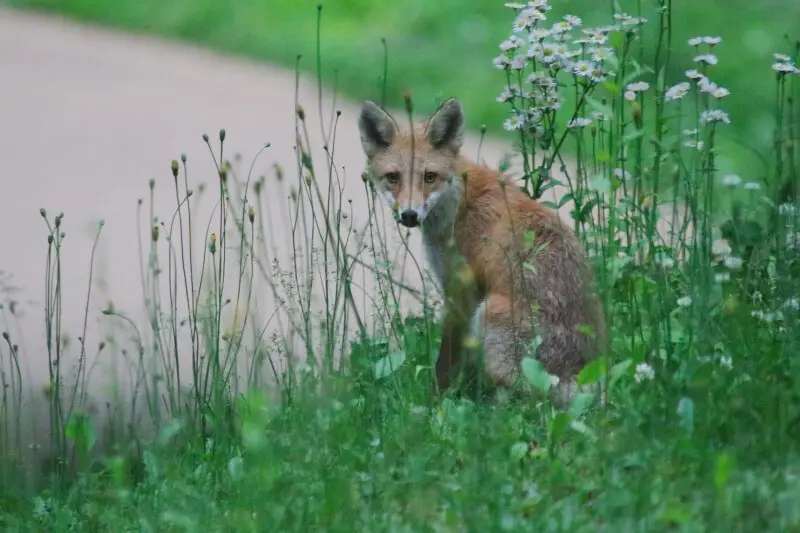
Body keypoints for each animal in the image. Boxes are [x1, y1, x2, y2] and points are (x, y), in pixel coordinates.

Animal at [357, 97, 607, 404]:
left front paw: (436, 402)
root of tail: (580, 376)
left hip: (490, 313)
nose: (409, 215)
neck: (459, 204)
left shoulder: (461, 291)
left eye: (429, 177)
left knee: (523, 400)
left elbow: (445, 362)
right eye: (393, 177)